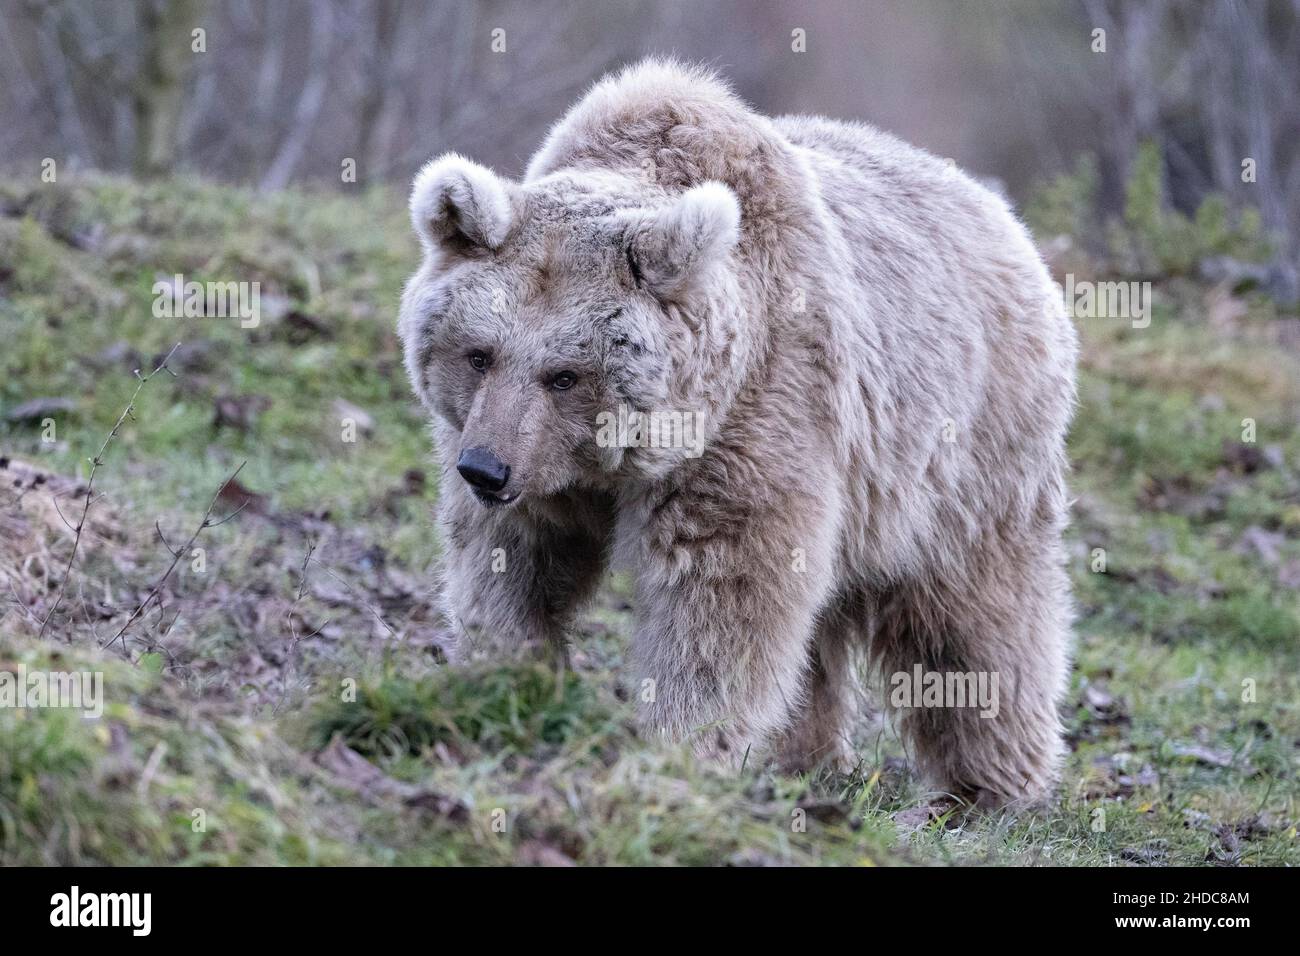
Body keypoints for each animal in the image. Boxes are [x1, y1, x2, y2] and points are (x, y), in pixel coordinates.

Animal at [398, 59, 1077, 808]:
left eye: (565, 373)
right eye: (479, 353)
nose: (485, 469)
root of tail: (1000, 215)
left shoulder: (755, 416)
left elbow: (722, 597)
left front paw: (681, 744)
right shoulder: (530, 462)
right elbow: (512, 562)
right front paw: (503, 674)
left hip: (965, 450)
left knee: (975, 613)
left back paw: (988, 785)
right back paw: (805, 755)